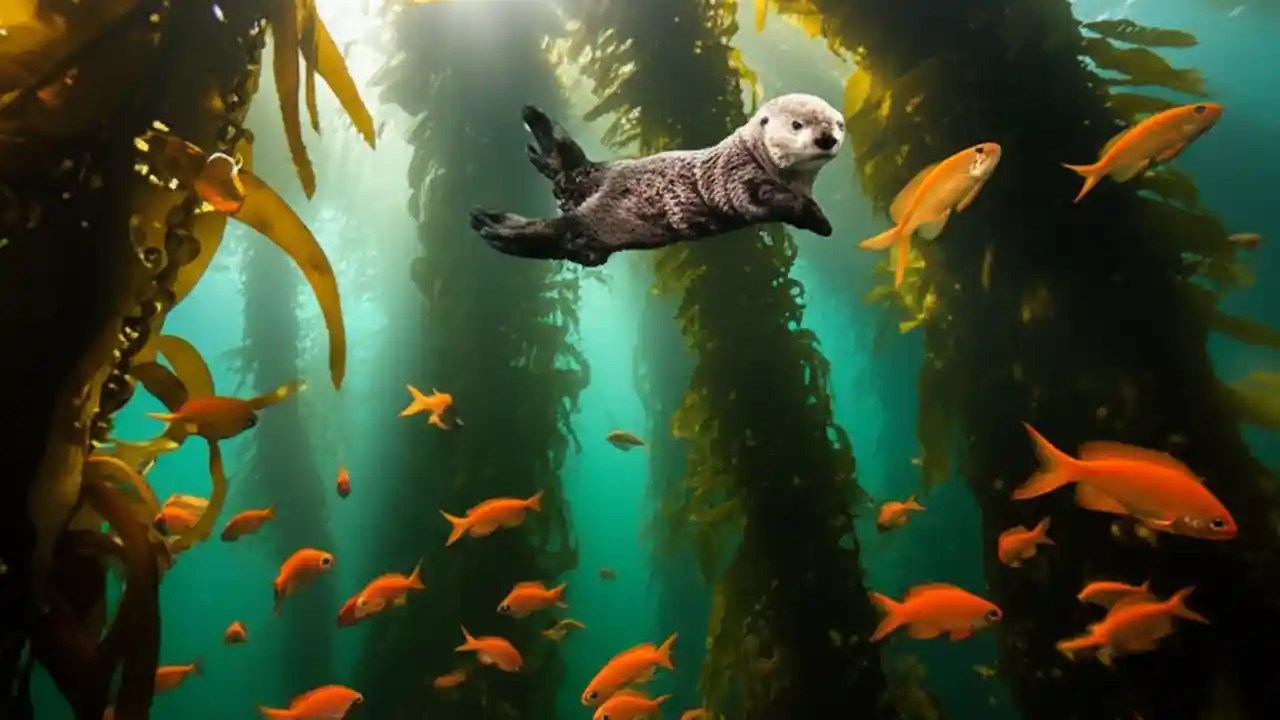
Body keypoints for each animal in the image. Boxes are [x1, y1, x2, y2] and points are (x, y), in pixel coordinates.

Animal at [469, 93, 846, 266]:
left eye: (839, 124)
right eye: (797, 125)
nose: (828, 138)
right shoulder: (737, 178)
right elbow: (762, 202)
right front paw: (818, 220)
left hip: (583, 181)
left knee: (568, 176)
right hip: (599, 224)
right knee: (566, 231)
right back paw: (496, 228)